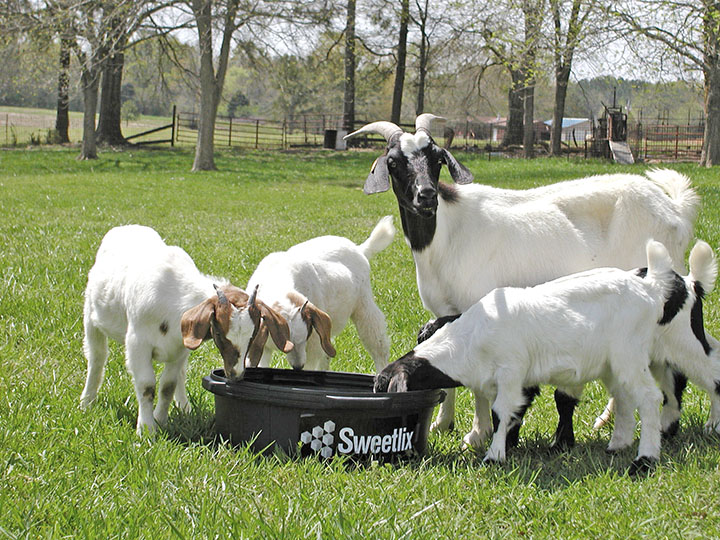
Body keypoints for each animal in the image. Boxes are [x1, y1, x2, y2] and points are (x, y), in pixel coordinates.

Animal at [81, 225, 293, 435]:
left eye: (253, 336)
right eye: (219, 334)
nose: (236, 374)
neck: (172, 296)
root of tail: (127, 227)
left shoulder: (179, 347)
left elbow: (168, 385)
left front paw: (161, 421)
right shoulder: (137, 343)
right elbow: (146, 385)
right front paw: (147, 430)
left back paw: (183, 407)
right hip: (90, 316)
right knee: (97, 357)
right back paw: (87, 401)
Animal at [246, 216, 395, 372]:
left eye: (305, 337)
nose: (298, 366)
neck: (277, 279)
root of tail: (359, 249)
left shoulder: (313, 342)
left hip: (364, 304)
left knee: (377, 343)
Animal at [345, 114, 701, 449]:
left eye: (437, 159)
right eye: (394, 162)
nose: (427, 196)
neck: (446, 235)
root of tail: (675, 210)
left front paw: (477, 433)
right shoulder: (442, 311)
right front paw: (443, 424)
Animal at [375, 240, 719, 474]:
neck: (471, 338)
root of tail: (654, 288)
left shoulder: (511, 371)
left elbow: (502, 412)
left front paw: (494, 457)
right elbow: (511, 414)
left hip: (640, 352)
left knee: (657, 394)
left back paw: (648, 457)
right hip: (617, 362)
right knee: (627, 397)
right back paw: (618, 443)